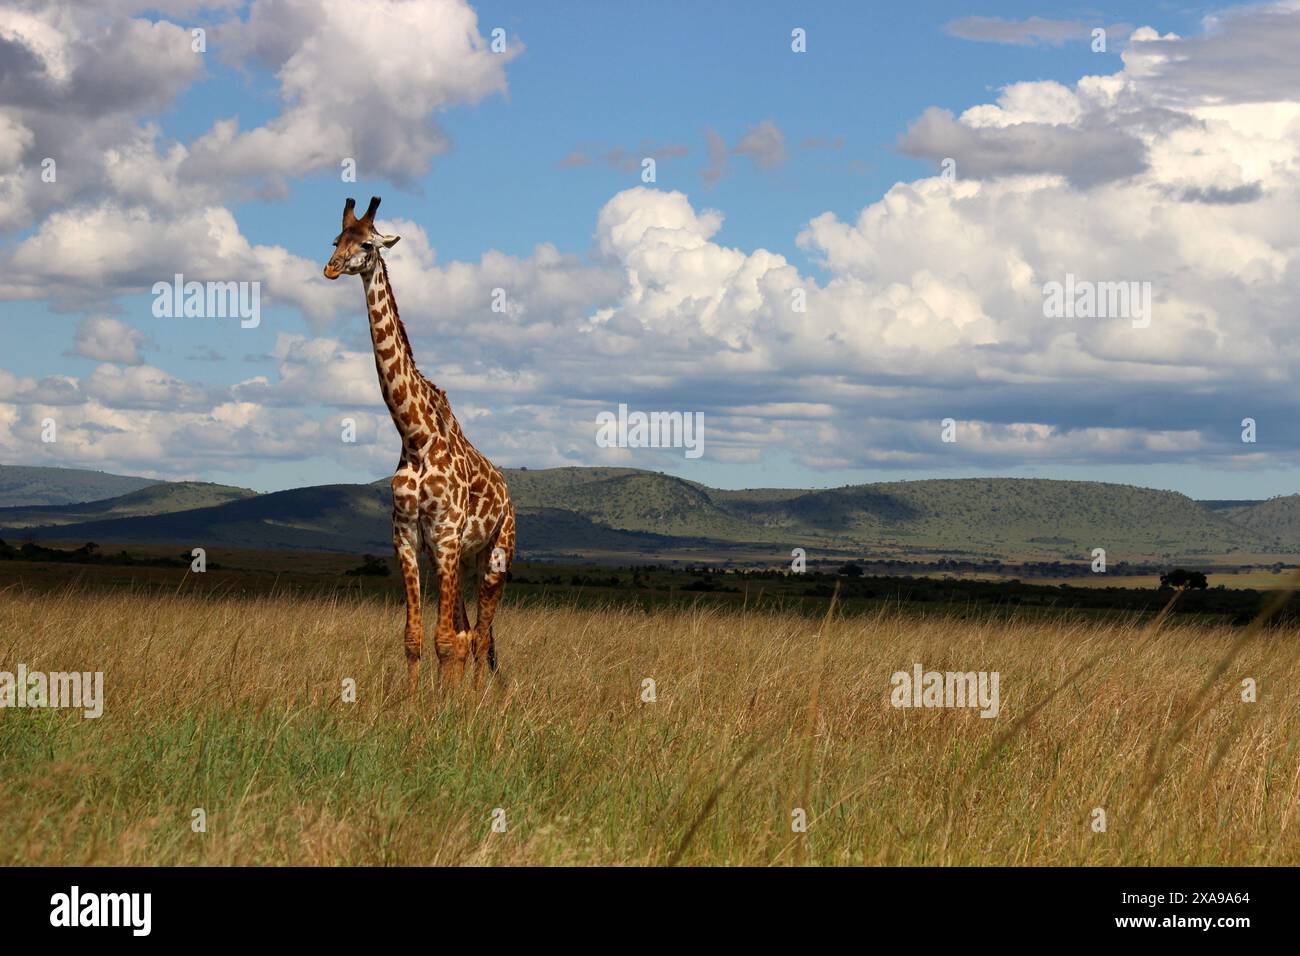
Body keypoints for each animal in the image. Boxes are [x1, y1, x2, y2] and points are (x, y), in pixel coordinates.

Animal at [323, 196, 516, 691]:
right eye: (336, 240)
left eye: (367, 244)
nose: (331, 269)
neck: (414, 436)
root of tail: (507, 492)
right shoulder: (408, 537)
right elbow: (414, 637)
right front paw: (414, 701)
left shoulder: (444, 536)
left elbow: (445, 639)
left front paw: (445, 705)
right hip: (464, 558)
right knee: (471, 634)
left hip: (495, 555)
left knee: (480, 635)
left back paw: (478, 697)